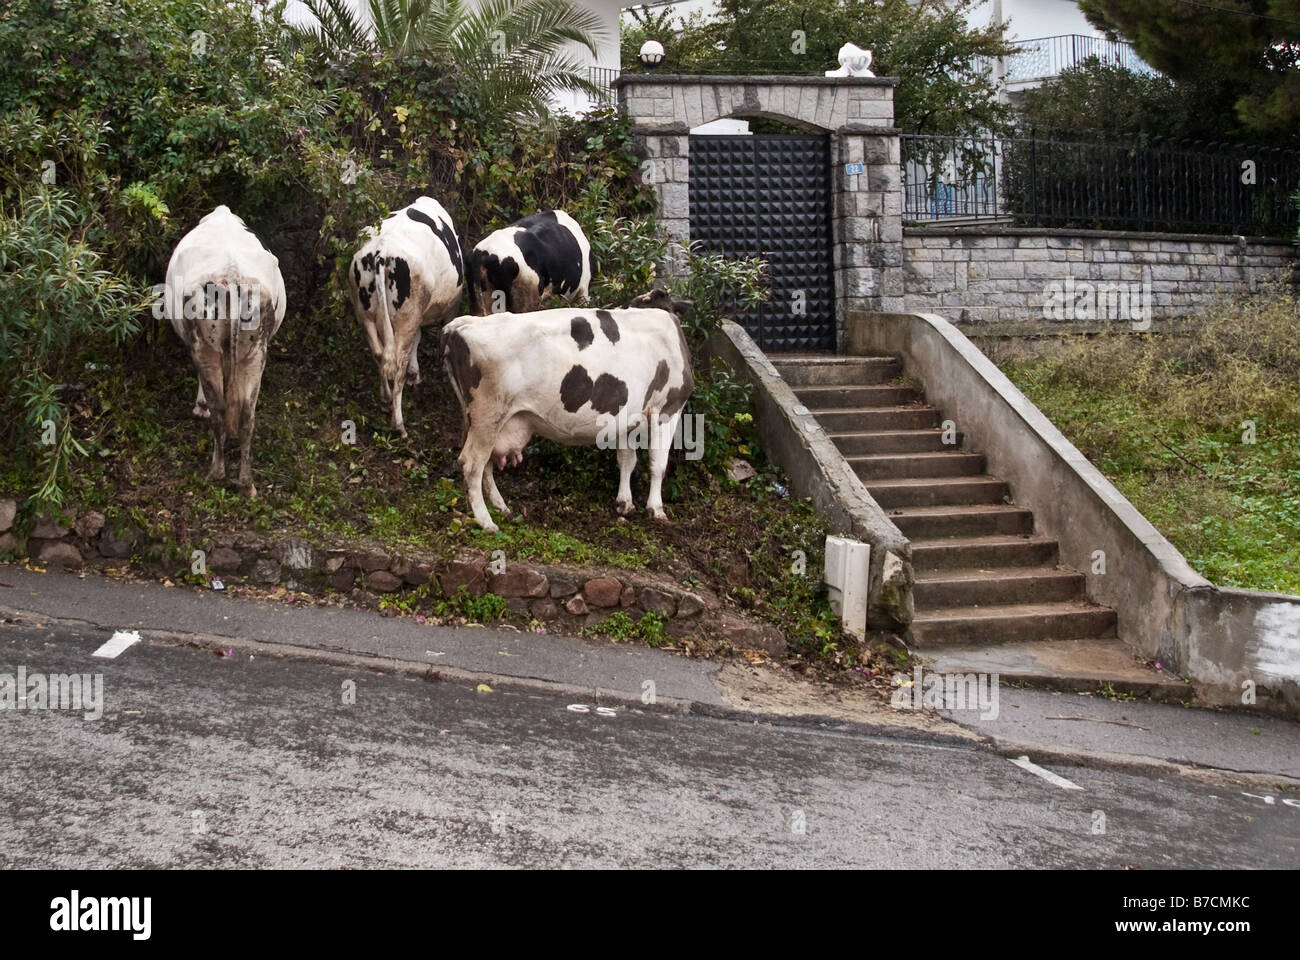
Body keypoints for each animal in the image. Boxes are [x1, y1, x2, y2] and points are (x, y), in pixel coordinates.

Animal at [164, 205, 286, 499]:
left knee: (219, 412)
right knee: (247, 416)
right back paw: (246, 484)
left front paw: (199, 406)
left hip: (205, 345)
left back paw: (216, 473)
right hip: (256, 350)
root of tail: (232, 275)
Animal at [349, 196, 466, 437]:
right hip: (406, 317)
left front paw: (415, 374)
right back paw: (399, 424)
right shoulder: (450, 306)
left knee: (379, 354)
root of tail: (382, 252)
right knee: (398, 364)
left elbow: (417, 339)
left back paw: (385, 400)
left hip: (365, 313)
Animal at [440, 289, 694, 533]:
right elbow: (657, 463)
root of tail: (462, 324)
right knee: (472, 464)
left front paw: (625, 503)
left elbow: (627, 460)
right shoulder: (669, 408)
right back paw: (486, 522)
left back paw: (501, 508)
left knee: (486, 465)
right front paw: (656, 509)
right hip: (488, 415)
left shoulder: (626, 418)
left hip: (479, 419)